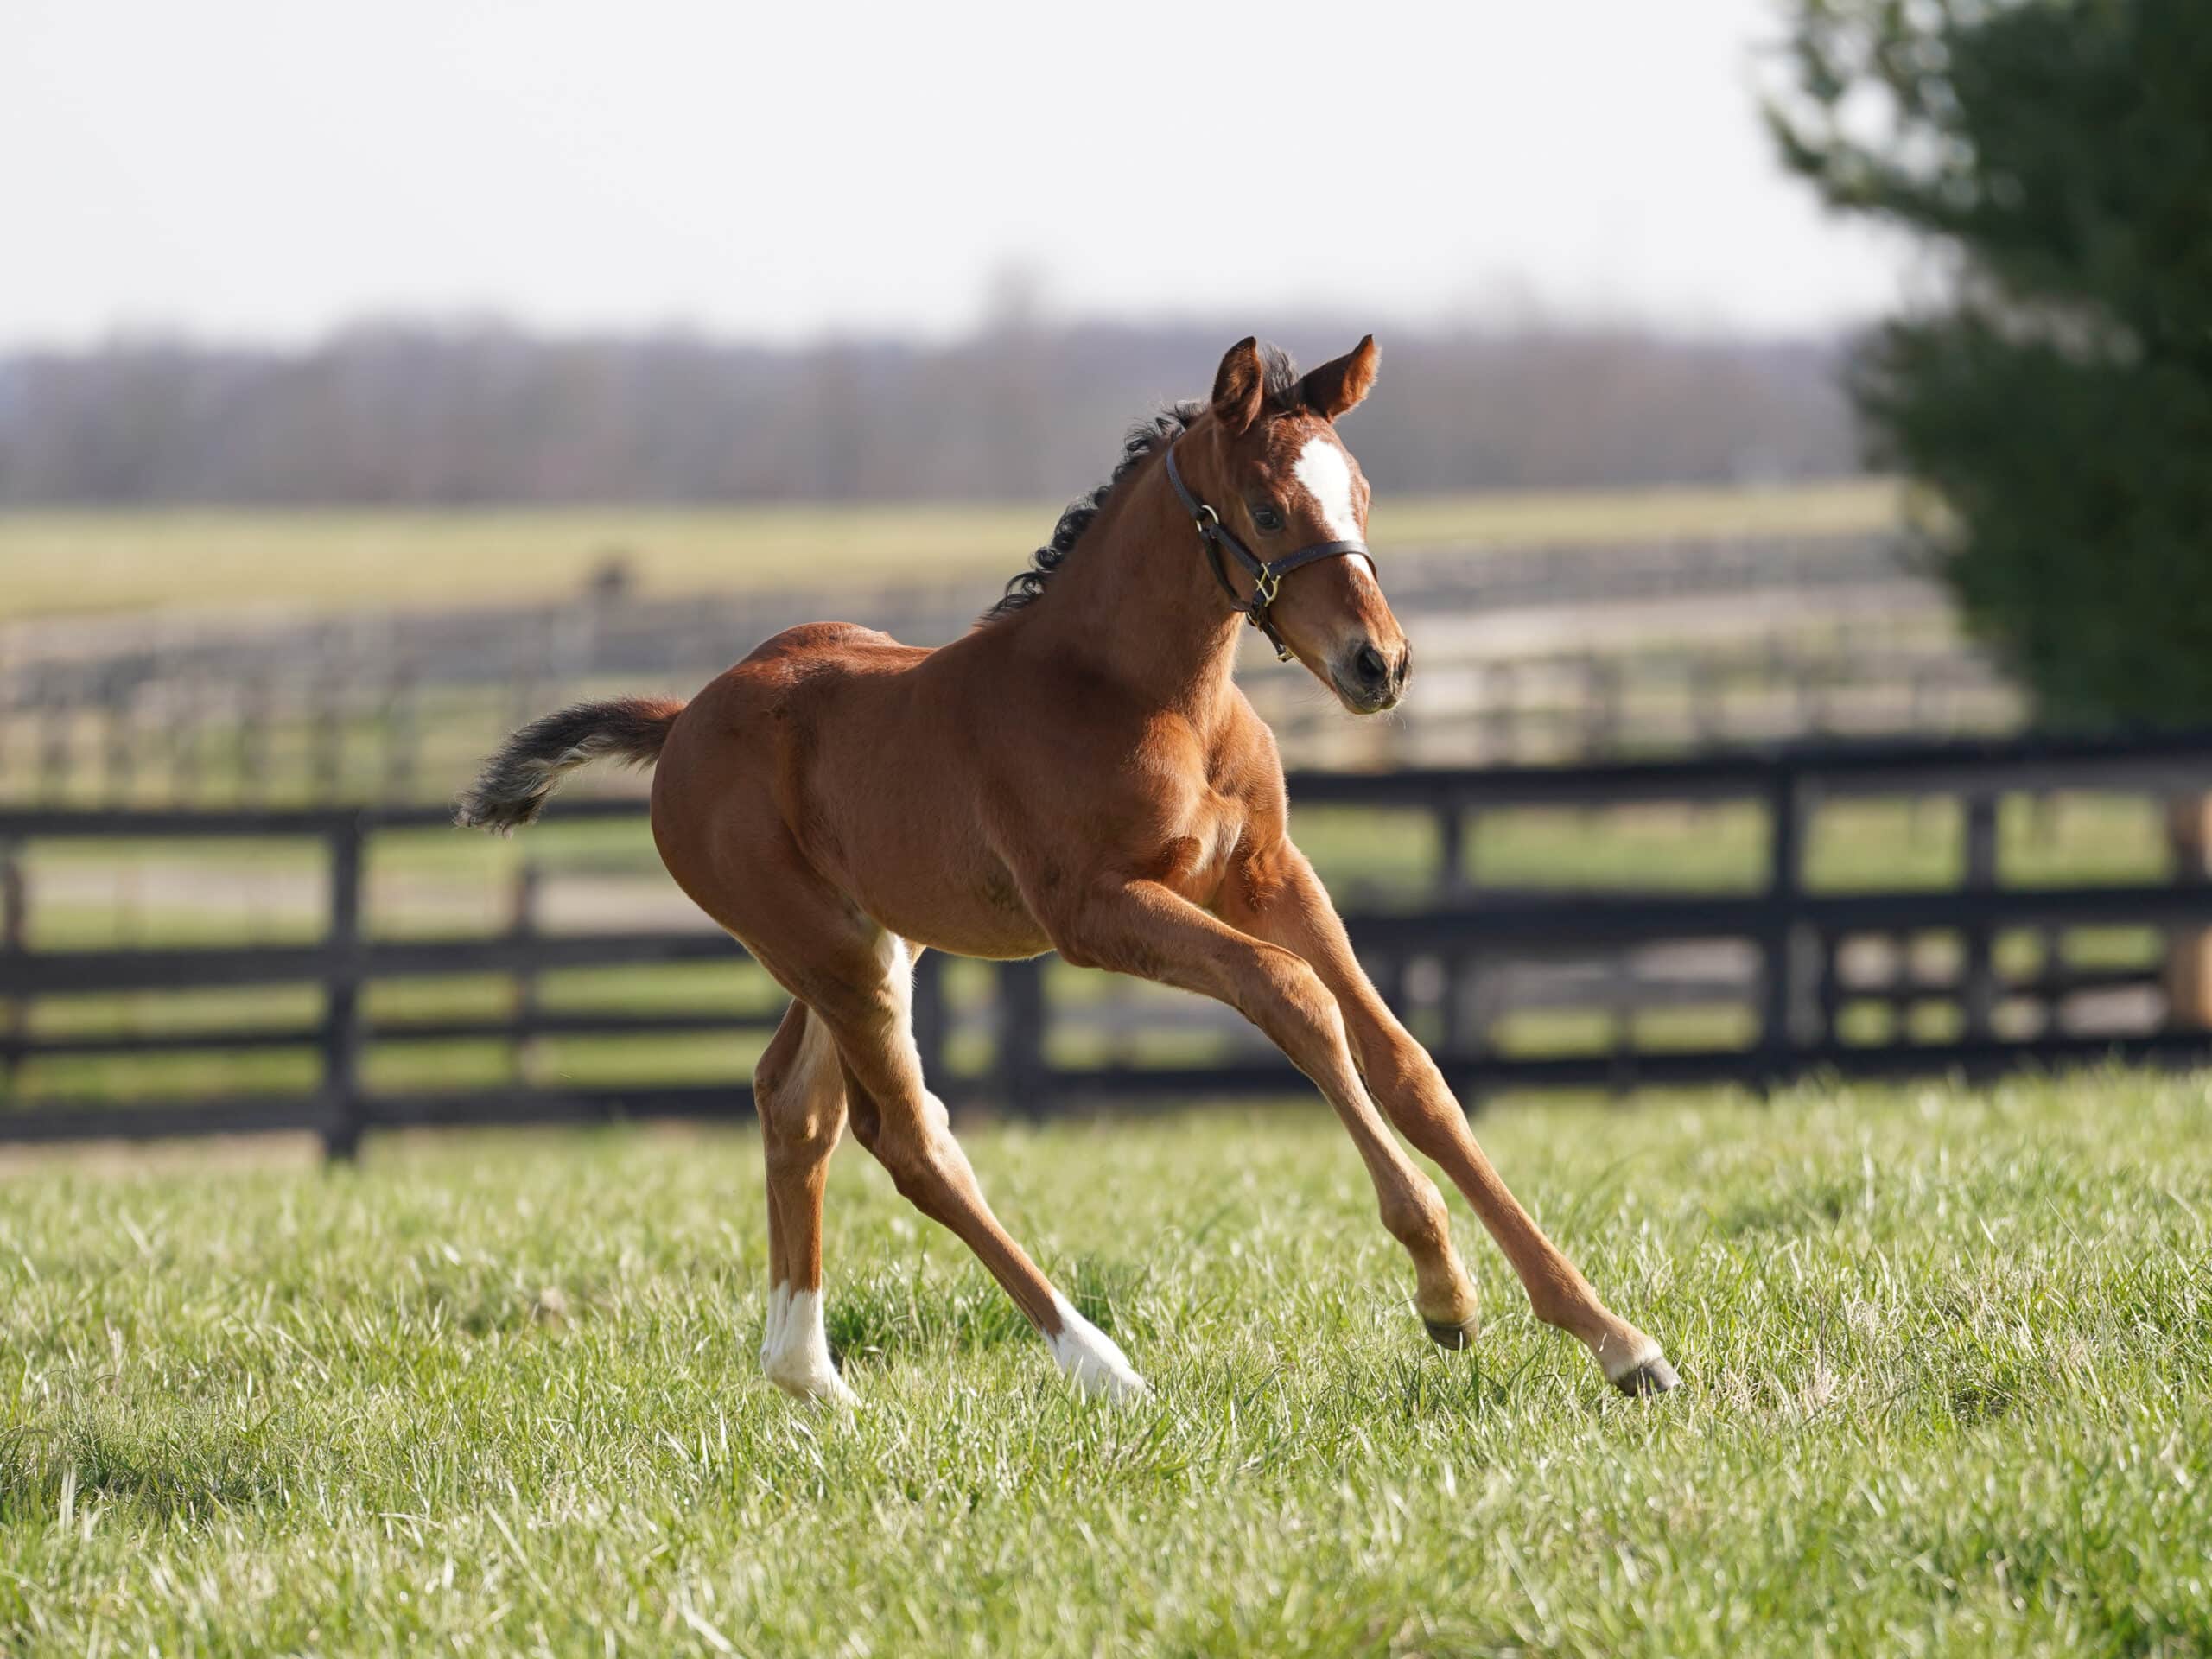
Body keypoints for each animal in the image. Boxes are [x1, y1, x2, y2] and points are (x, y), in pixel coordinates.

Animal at [457, 336, 1679, 1405]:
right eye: (1269, 509)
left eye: (1363, 495)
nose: (1381, 664)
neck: (1140, 694)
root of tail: (682, 723)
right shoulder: (1098, 912)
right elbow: (1294, 1001)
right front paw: (1444, 1294)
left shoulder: (1268, 873)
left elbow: (1407, 1065)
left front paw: (1614, 1340)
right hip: (832, 953)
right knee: (908, 1141)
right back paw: (1102, 1369)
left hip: (871, 940)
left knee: (791, 1105)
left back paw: (811, 1381)